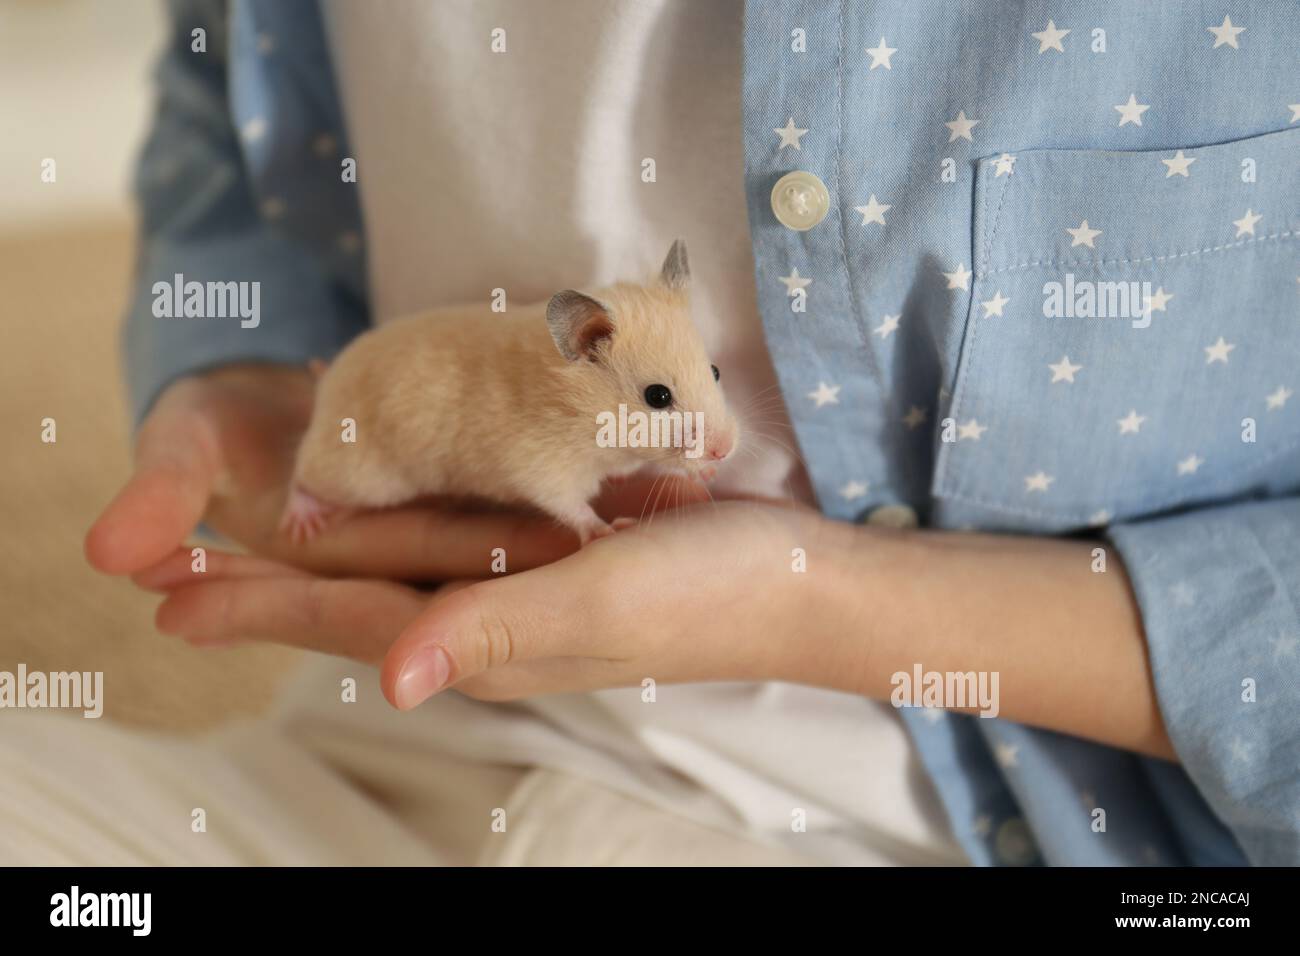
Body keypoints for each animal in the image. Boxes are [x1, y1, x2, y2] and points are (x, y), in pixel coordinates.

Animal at [280, 240, 740, 545]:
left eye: (715, 370)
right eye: (657, 396)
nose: (725, 450)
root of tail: (329, 384)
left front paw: (705, 474)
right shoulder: (541, 467)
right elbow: (569, 505)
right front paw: (609, 528)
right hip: (360, 473)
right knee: (302, 474)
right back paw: (302, 523)